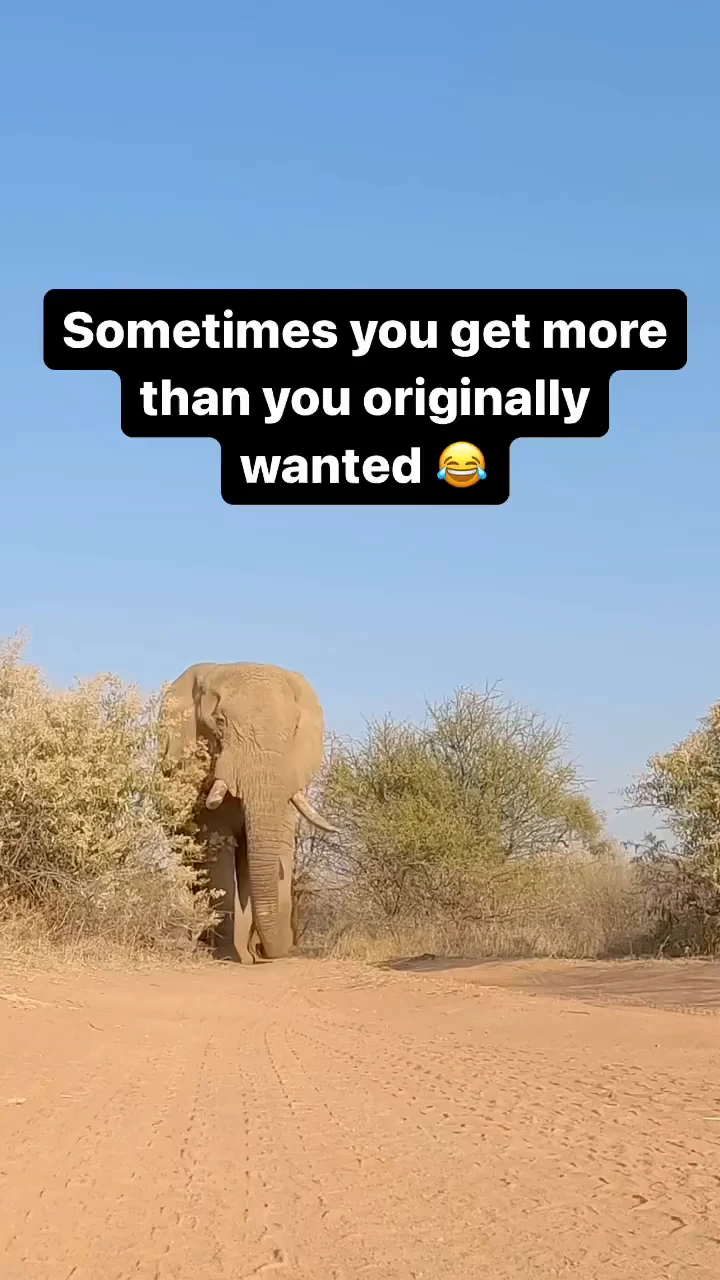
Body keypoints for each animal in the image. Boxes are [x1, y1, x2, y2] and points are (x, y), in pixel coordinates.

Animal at [162, 662, 334, 962]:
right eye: (219, 722)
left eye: (295, 727)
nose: (269, 951)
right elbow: (216, 853)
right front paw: (230, 954)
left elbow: (278, 847)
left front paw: (255, 952)